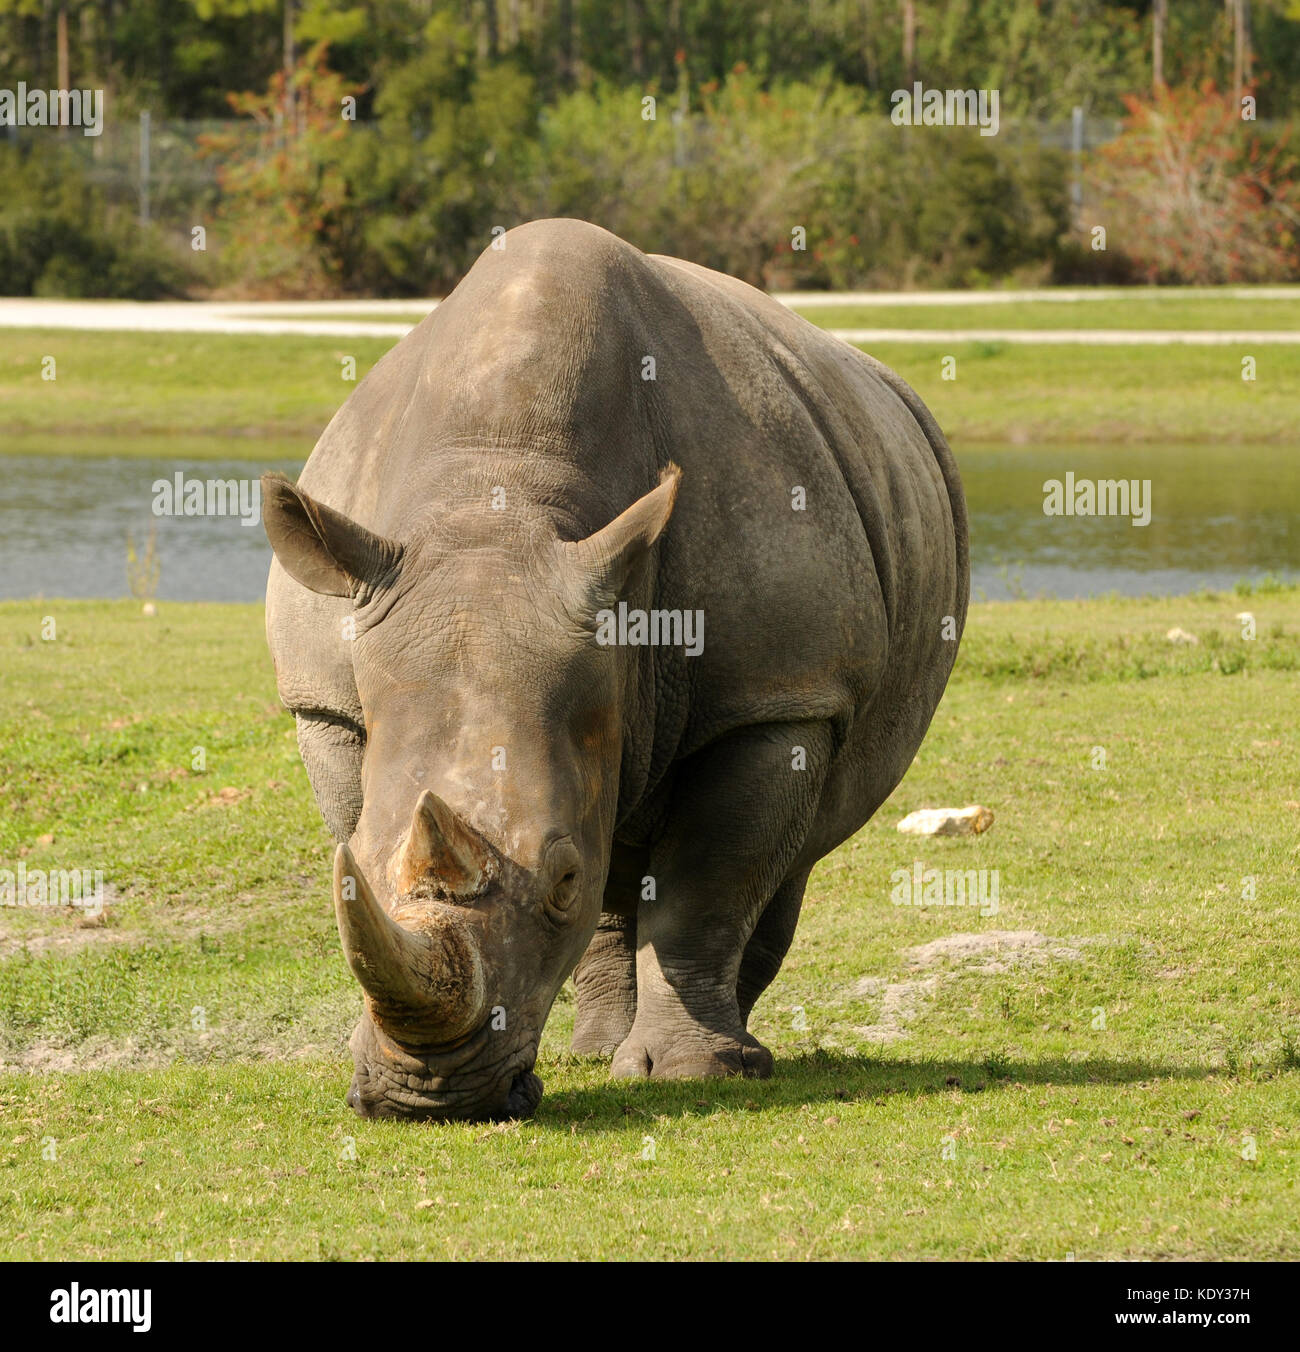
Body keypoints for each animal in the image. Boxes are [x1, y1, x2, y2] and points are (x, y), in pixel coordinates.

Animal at [261, 219, 968, 1121]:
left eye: (561, 877)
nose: (432, 1095)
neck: (498, 499)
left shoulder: (776, 695)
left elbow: (709, 884)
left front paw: (696, 1073)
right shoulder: (328, 701)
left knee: (792, 847)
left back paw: (730, 1046)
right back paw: (598, 1050)